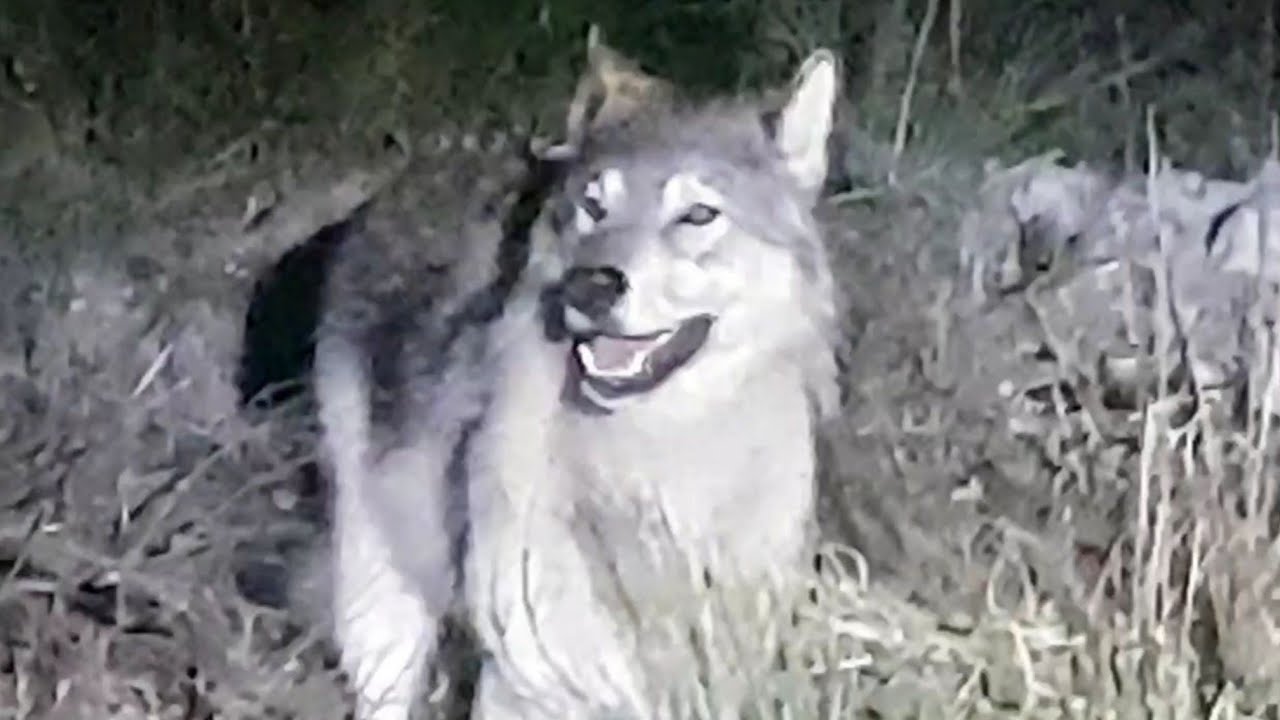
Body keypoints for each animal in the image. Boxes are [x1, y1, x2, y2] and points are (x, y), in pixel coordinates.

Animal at [313, 29, 844, 720]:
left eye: (698, 215)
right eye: (594, 206)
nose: (589, 287)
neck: (658, 466)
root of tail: (420, 171)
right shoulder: (528, 678)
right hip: (383, 593)